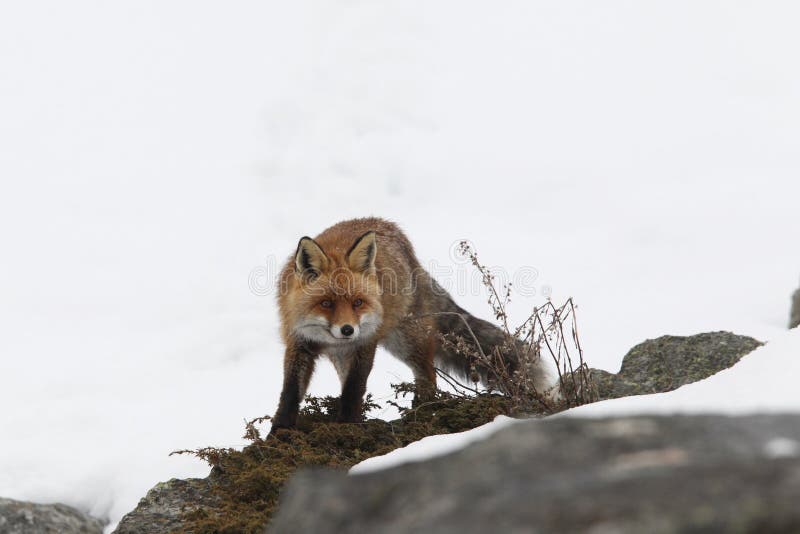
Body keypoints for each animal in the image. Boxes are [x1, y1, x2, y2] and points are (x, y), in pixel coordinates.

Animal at [271, 217, 549, 430]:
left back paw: (420, 413)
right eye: (326, 303)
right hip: (347, 355)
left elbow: (354, 388)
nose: (348, 330)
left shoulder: (365, 343)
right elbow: (290, 391)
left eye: (358, 302)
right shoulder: (299, 342)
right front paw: (280, 432)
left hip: (406, 341)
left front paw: (347, 426)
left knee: (428, 376)